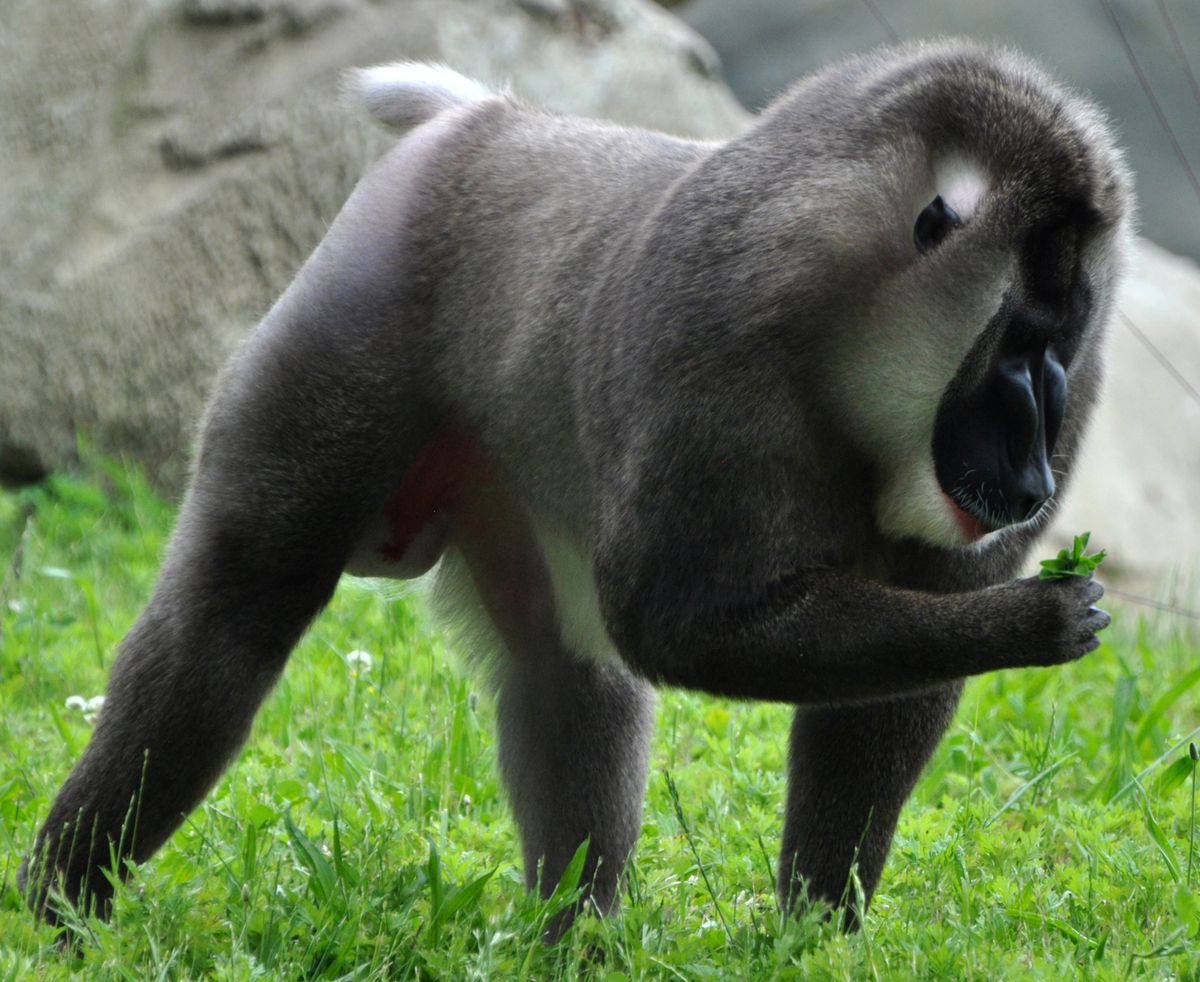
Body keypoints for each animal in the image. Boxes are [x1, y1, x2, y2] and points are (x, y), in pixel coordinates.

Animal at [22, 40, 1133, 936]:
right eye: (1017, 344)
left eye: (1061, 345)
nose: (1035, 474)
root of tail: (484, 122)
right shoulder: (717, 342)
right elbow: (676, 623)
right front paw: (1040, 619)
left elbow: (876, 699)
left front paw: (816, 939)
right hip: (342, 342)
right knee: (231, 620)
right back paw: (60, 908)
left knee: (566, 678)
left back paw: (577, 939)